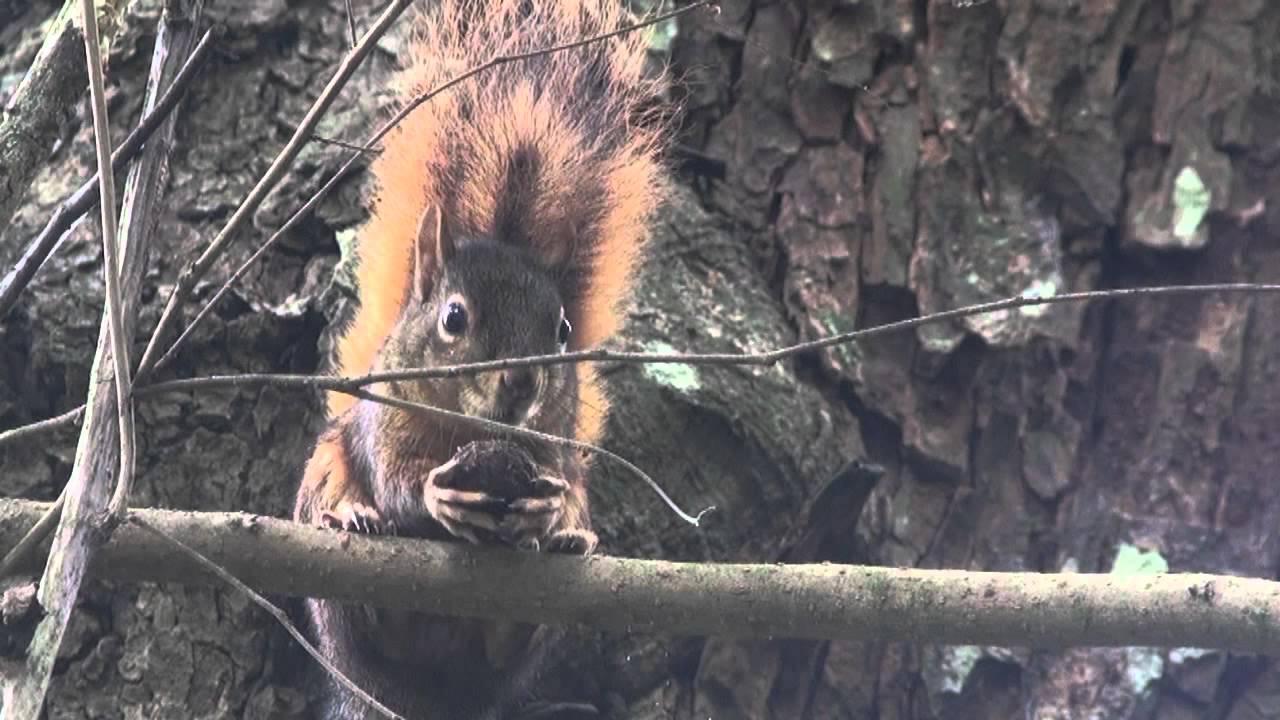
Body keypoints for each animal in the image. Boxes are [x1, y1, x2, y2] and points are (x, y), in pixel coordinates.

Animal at [291, 0, 672, 718]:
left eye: (561, 330)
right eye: (453, 319)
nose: (521, 383)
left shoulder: (553, 451)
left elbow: (557, 483)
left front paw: (550, 516)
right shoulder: (386, 421)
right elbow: (395, 478)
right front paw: (433, 496)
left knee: (505, 646)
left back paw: (565, 541)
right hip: (330, 536)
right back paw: (352, 518)